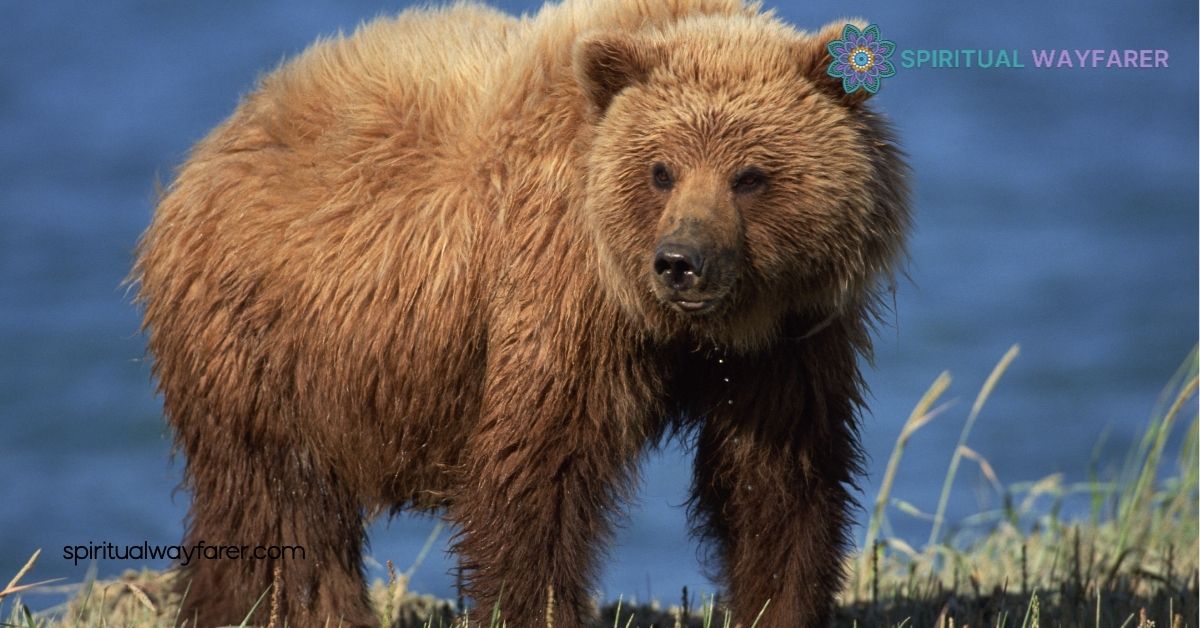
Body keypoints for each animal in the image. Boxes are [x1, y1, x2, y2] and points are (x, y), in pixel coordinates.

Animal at [133, 0, 909, 626]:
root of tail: (212, 145)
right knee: (279, 509)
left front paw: (781, 602)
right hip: (265, 342)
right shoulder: (561, 295)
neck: (681, 329)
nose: (680, 261)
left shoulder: (791, 335)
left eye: (750, 175)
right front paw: (533, 606)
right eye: (660, 170)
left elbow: (777, 480)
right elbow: (537, 476)